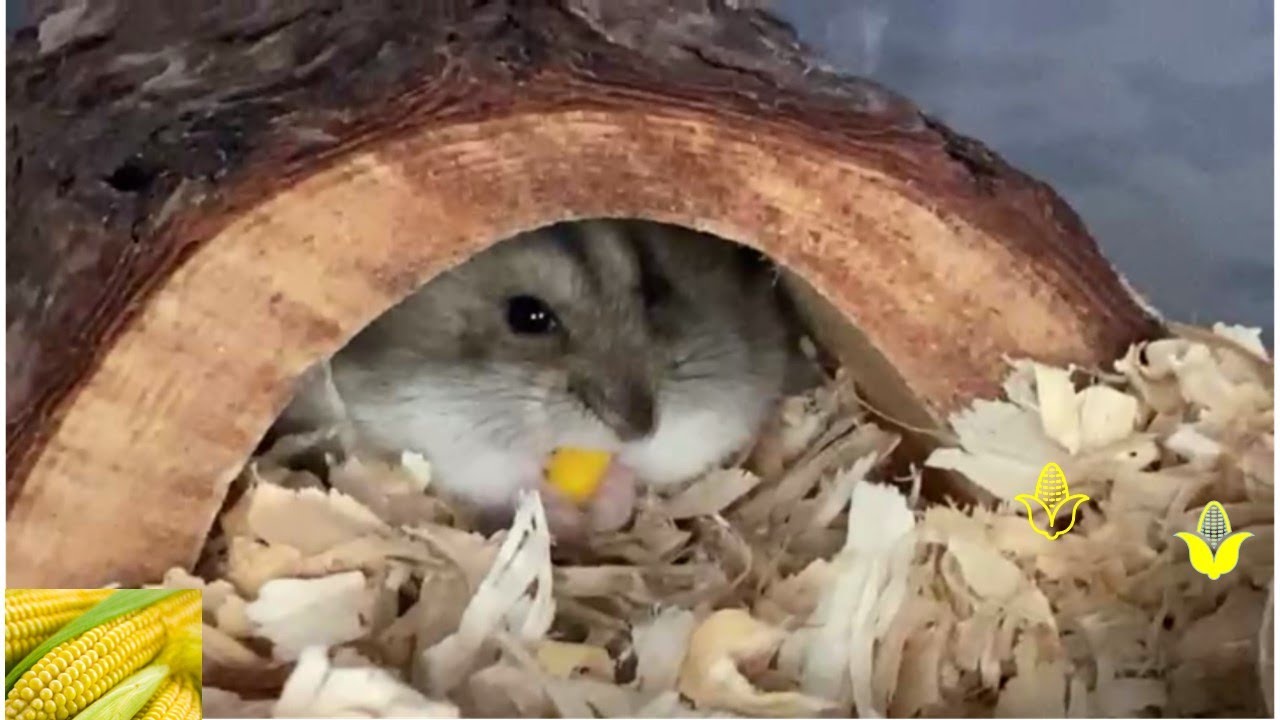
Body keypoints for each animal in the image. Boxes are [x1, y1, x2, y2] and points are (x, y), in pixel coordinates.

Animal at [278, 219, 799, 530]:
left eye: (654, 289)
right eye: (527, 316)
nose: (639, 429)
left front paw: (613, 493)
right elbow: (505, 475)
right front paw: (564, 512)